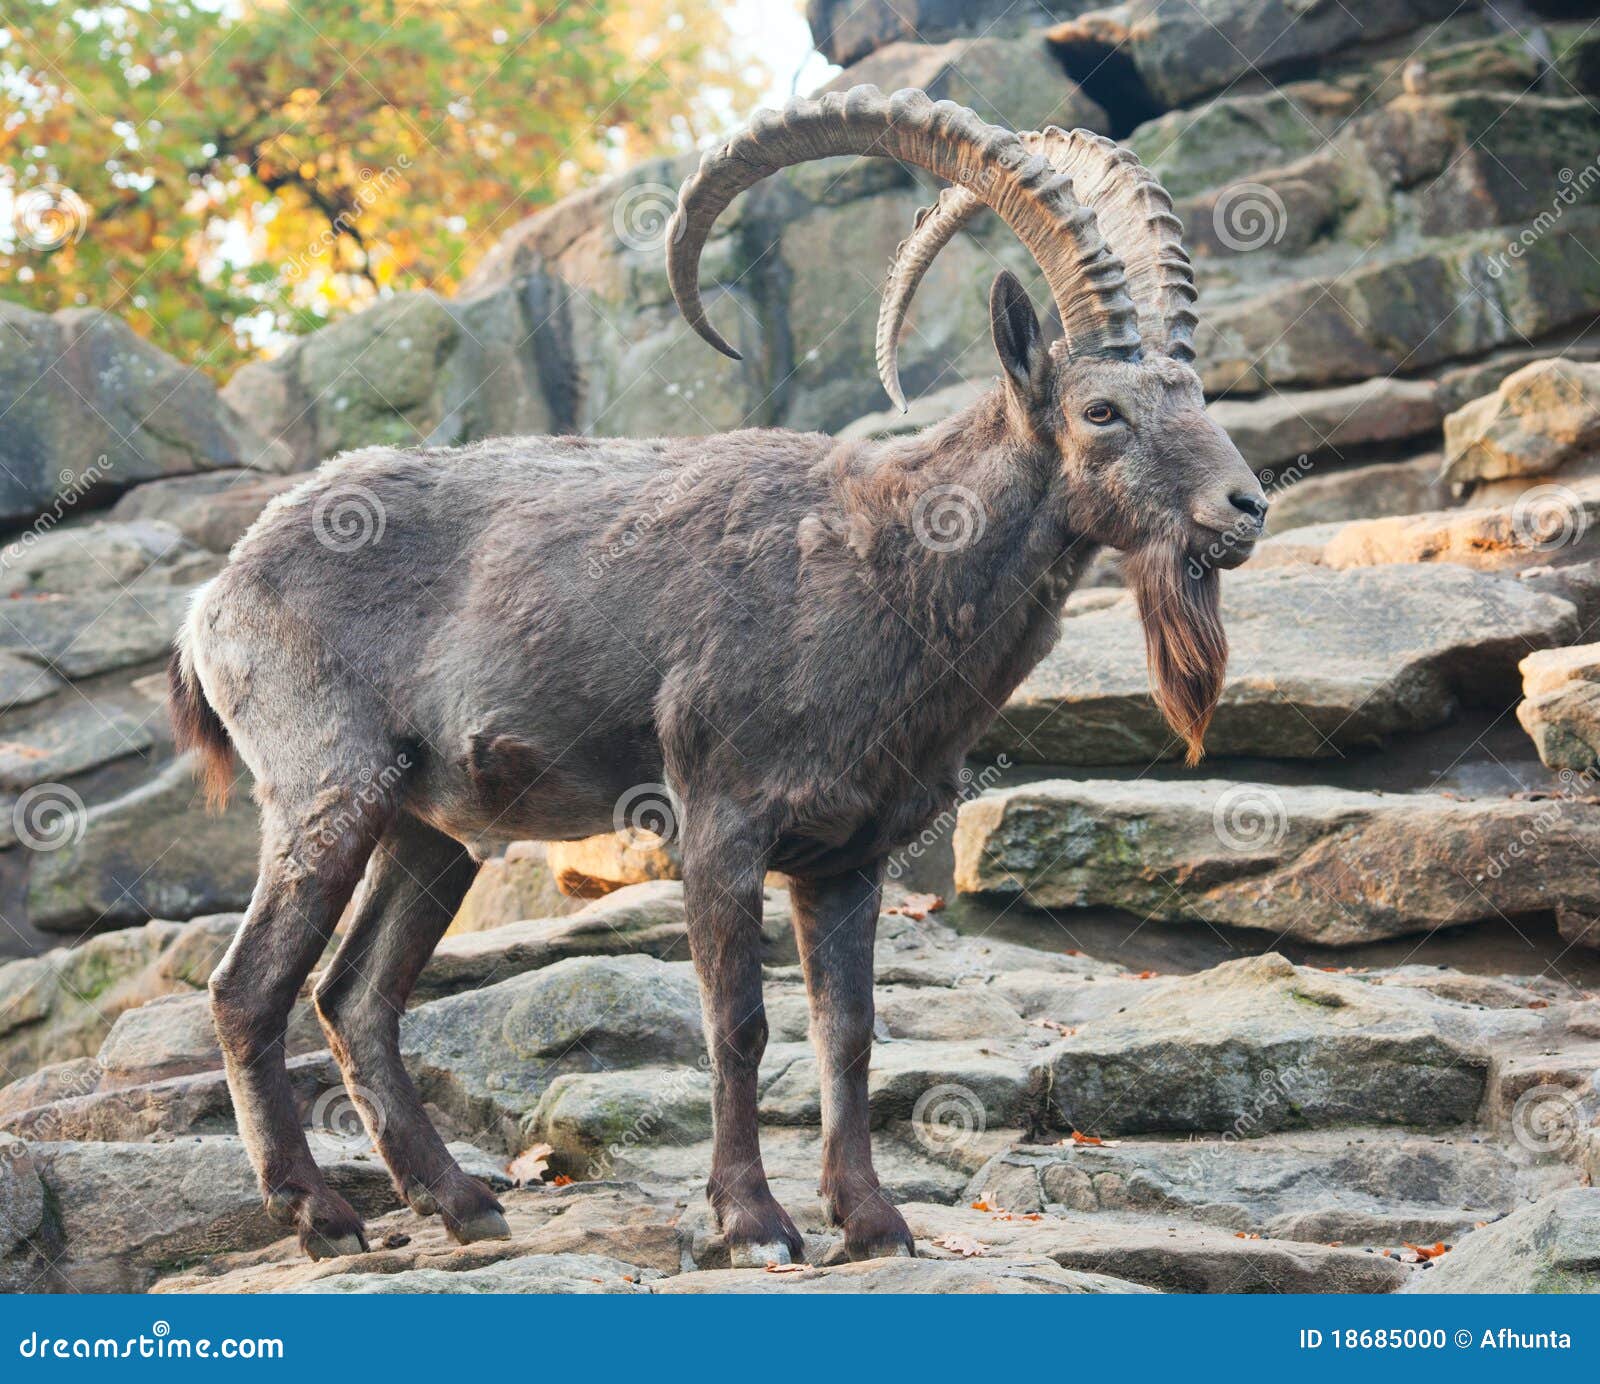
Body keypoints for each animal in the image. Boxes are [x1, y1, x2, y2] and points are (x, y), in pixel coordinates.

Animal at [169, 86, 1266, 1265]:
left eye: (1196, 393)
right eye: (1101, 410)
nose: (1246, 505)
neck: (888, 564)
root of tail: (217, 595)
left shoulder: (849, 853)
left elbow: (849, 1032)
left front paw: (871, 1220)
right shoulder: (720, 820)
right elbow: (736, 1021)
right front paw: (754, 1222)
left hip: (432, 828)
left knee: (354, 996)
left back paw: (460, 1202)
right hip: (327, 790)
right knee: (248, 988)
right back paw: (321, 1215)